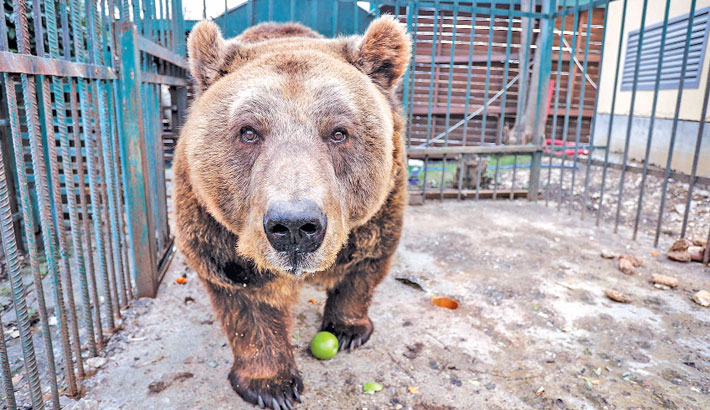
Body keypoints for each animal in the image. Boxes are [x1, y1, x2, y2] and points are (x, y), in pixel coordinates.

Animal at [174, 15, 411, 409]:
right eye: (248, 131)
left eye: (339, 132)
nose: (296, 226)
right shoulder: (216, 227)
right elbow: (245, 295)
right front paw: (272, 385)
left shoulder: (381, 205)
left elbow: (367, 260)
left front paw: (348, 329)